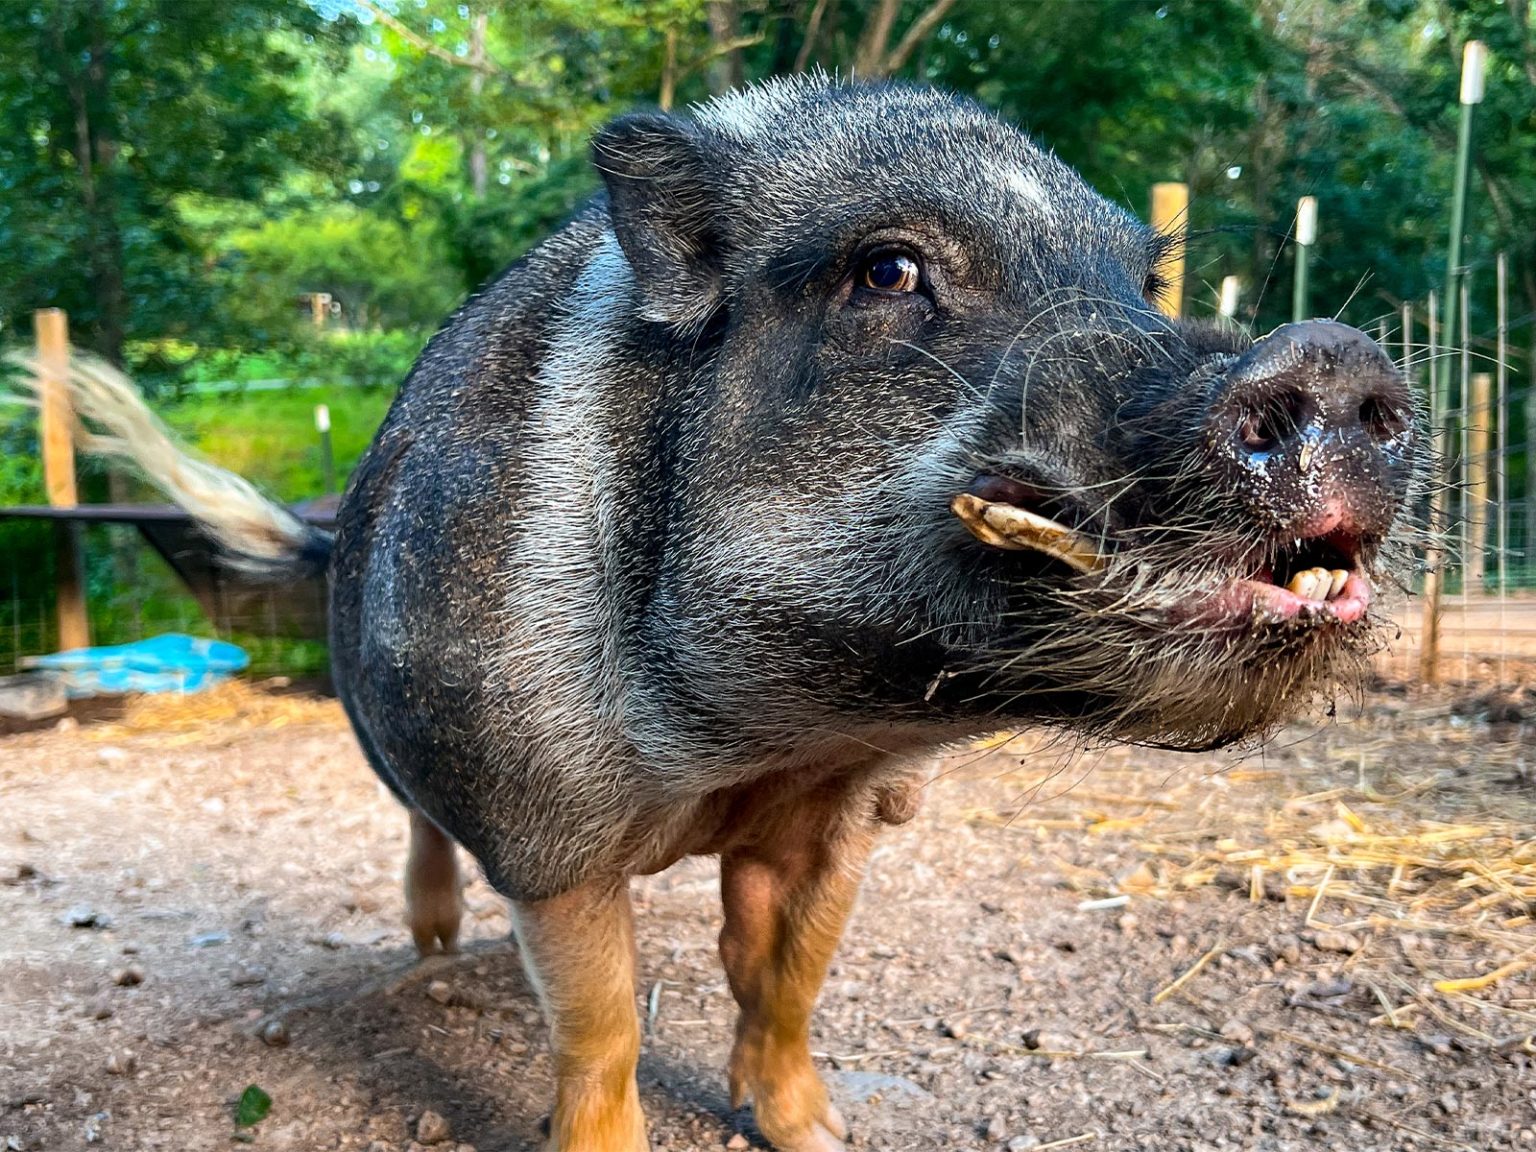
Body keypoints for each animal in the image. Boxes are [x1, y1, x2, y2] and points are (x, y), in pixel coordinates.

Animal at [35, 76, 1418, 1152]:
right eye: (887, 268)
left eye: (1140, 279)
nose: (1336, 358)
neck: (771, 740)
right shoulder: (552, 831)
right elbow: (600, 1025)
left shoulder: (851, 814)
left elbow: (784, 979)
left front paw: (817, 1131)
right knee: (417, 819)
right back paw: (428, 946)